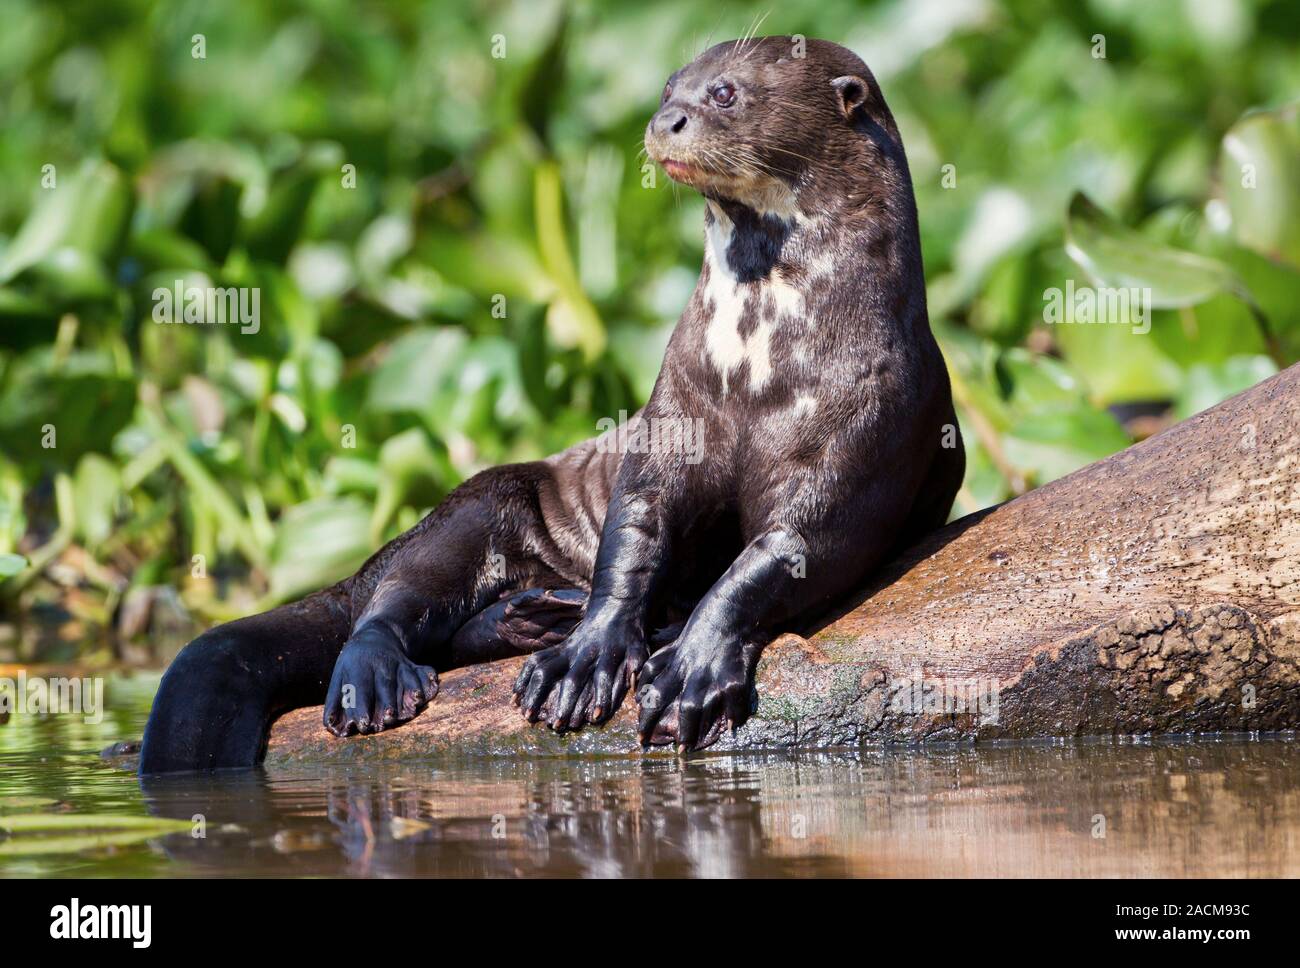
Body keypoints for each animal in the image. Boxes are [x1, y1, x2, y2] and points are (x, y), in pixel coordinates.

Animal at [139, 36, 963, 772]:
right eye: (669, 86)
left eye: (726, 92)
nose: (665, 121)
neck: (757, 371)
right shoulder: (672, 415)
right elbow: (635, 529)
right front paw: (588, 653)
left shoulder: (864, 440)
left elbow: (784, 550)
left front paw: (692, 662)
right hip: (477, 502)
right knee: (394, 601)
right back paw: (396, 668)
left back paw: (553, 616)